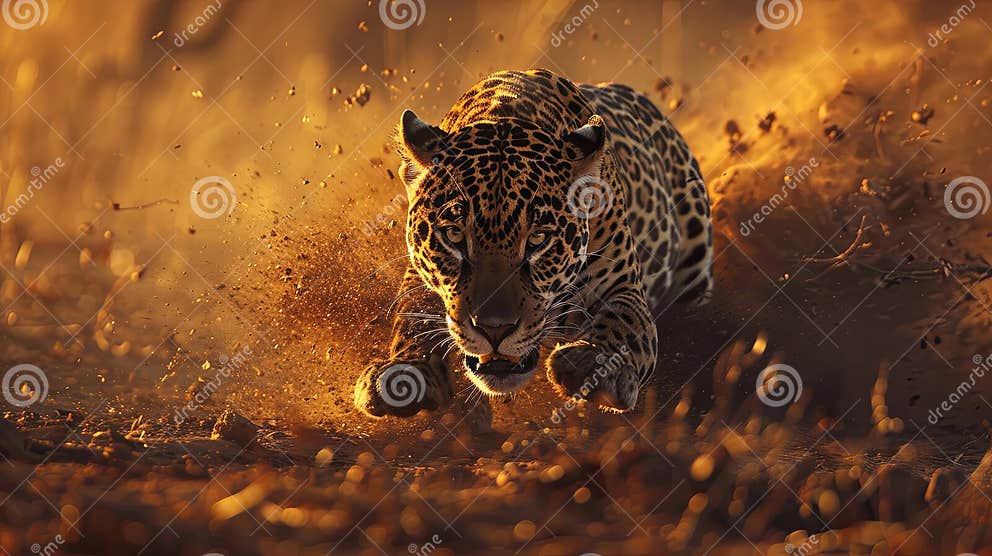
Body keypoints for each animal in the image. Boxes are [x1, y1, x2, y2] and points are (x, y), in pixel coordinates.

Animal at [354, 68, 712, 420]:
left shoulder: (624, 283)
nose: (494, 330)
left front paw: (590, 363)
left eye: (538, 239)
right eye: (454, 235)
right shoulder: (419, 274)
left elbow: (624, 323)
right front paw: (403, 370)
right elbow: (411, 314)